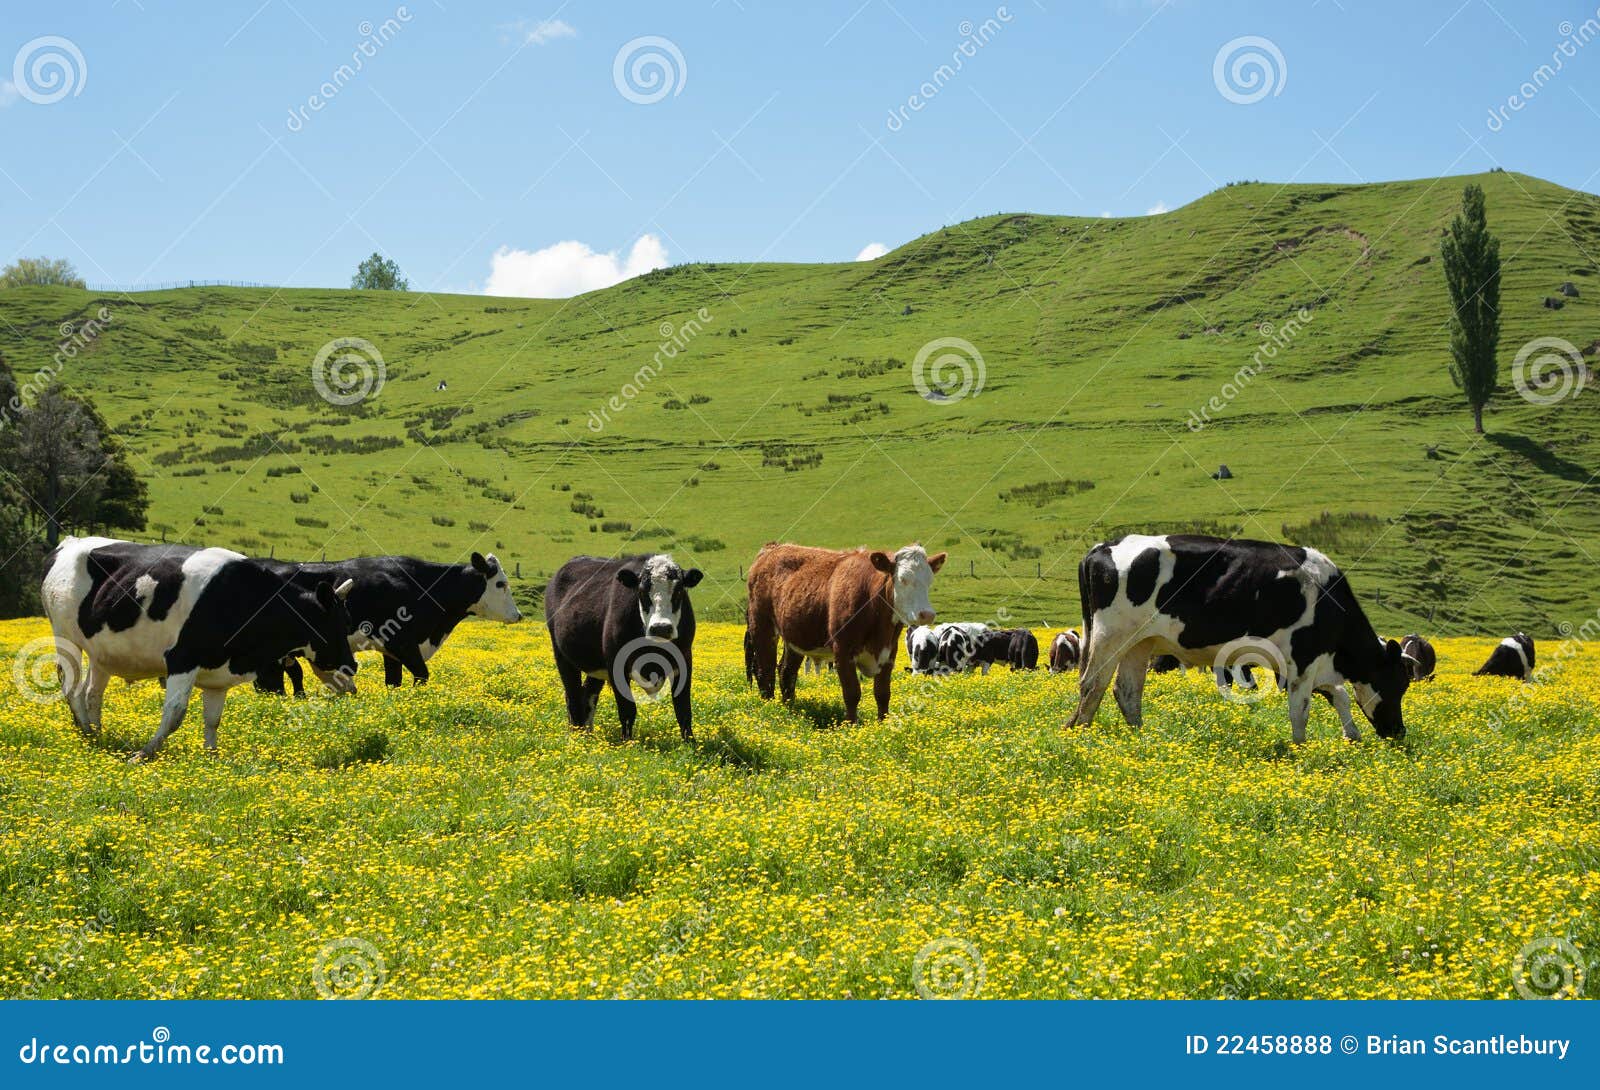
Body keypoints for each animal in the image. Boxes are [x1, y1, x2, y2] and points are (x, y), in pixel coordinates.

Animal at [40, 537, 358, 762]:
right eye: (336, 624)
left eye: (347, 619)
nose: (352, 665)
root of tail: (70, 542)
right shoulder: (182, 660)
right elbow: (175, 714)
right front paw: (144, 753)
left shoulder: (218, 675)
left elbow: (213, 719)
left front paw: (211, 757)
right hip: (65, 638)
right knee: (71, 686)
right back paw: (85, 731)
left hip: (101, 652)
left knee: (93, 693)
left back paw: (98, 735)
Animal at [253, 553, 521, 692]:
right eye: (501, 583)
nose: (518, 615)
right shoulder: (402, 643)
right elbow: (422, 675)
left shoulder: (391, 651)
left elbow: (393, 682)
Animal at [545, 554, 702, 740]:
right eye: (641, 591)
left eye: (679, 591)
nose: (661, 628)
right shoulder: (616, 664)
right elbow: (627, 709)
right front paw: (628, 742)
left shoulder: (684, 660)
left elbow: (683, 708)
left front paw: (691, 743)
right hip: (562, 656)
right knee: (573, 695)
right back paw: (577, 737)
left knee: (587, 694)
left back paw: (587, 735)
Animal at [746, 542, 945, 721]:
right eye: (903, 579)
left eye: (929, 581)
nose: (927, 614)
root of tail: (773, 548)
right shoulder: (842, 651)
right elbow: (852, 693)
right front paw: (851, 725)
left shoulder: (889, 653)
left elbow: (882, 694)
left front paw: (882, 724)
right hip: (762, 626)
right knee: (765, 669)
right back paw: (771, 708)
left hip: (795, 637)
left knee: (786, 672)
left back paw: (789, 708)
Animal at [1067, 534, 1410, 743]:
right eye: (1398, 685)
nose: (1399, 732)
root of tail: (1104, 546)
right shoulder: (1303, 658)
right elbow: (1301, 711)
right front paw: (1300, 750)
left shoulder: (1310, 664)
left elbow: (1339, 696)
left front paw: (1352, 736)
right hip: (1110, 635)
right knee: (1092, 684)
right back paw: (1081, 733)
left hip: (1141, 642)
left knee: (1126, 690)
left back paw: (1141, 738)